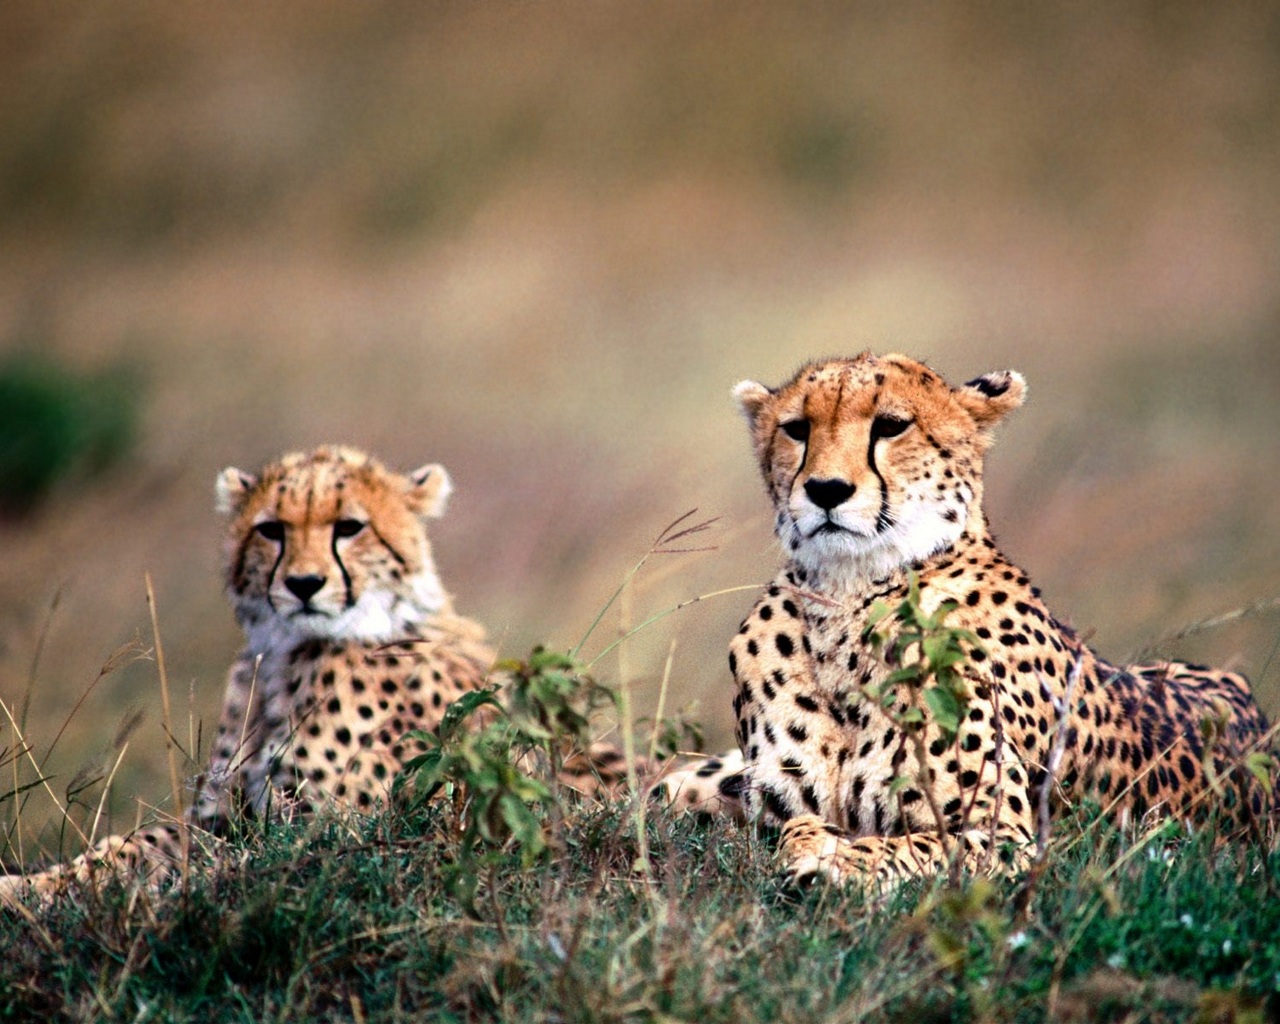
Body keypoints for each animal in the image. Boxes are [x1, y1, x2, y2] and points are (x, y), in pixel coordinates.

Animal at [0, 445, 626, 905]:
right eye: (271, 530)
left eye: (350, 527)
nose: (303, 584)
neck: (286, 656)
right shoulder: (219, 817)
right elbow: (130, 845)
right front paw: (24, 887)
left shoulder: (327, 831)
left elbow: (223, 867)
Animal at [663, 352, 1274, 888]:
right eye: (796, 429)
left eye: (891, 426)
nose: (826, 490)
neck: (848, 597)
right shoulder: (764, 807)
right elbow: (785, 823)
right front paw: (814, 843)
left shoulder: (1011, 837)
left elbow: (907, 845)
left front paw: (830, 856)